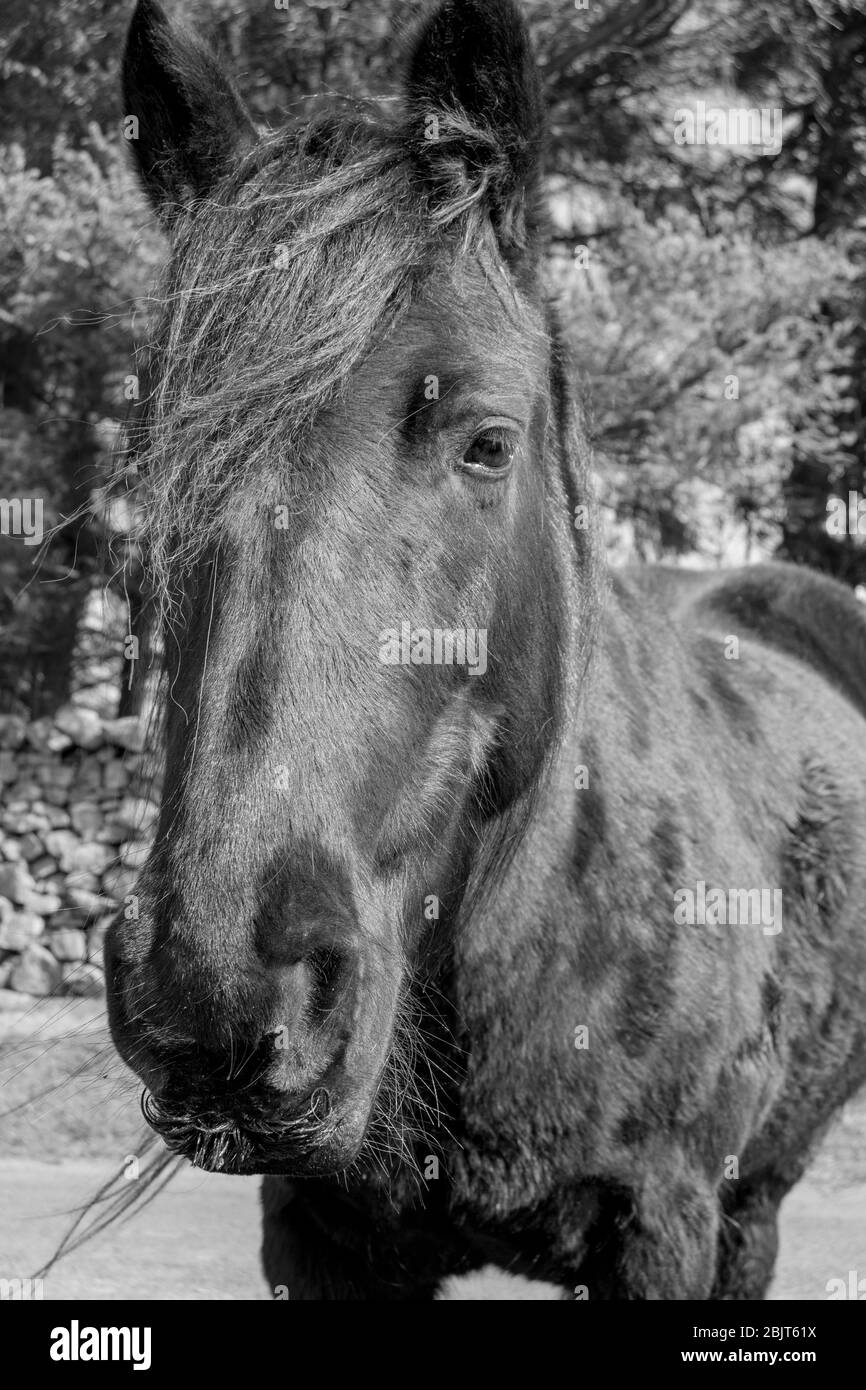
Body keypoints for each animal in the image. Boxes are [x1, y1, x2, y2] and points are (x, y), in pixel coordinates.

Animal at [106, 0, 866, 1299]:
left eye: (488, 442)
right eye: (158, 453)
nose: (217, 987)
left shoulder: (662, 1221)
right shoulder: (318, 1234)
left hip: (751, 1200)